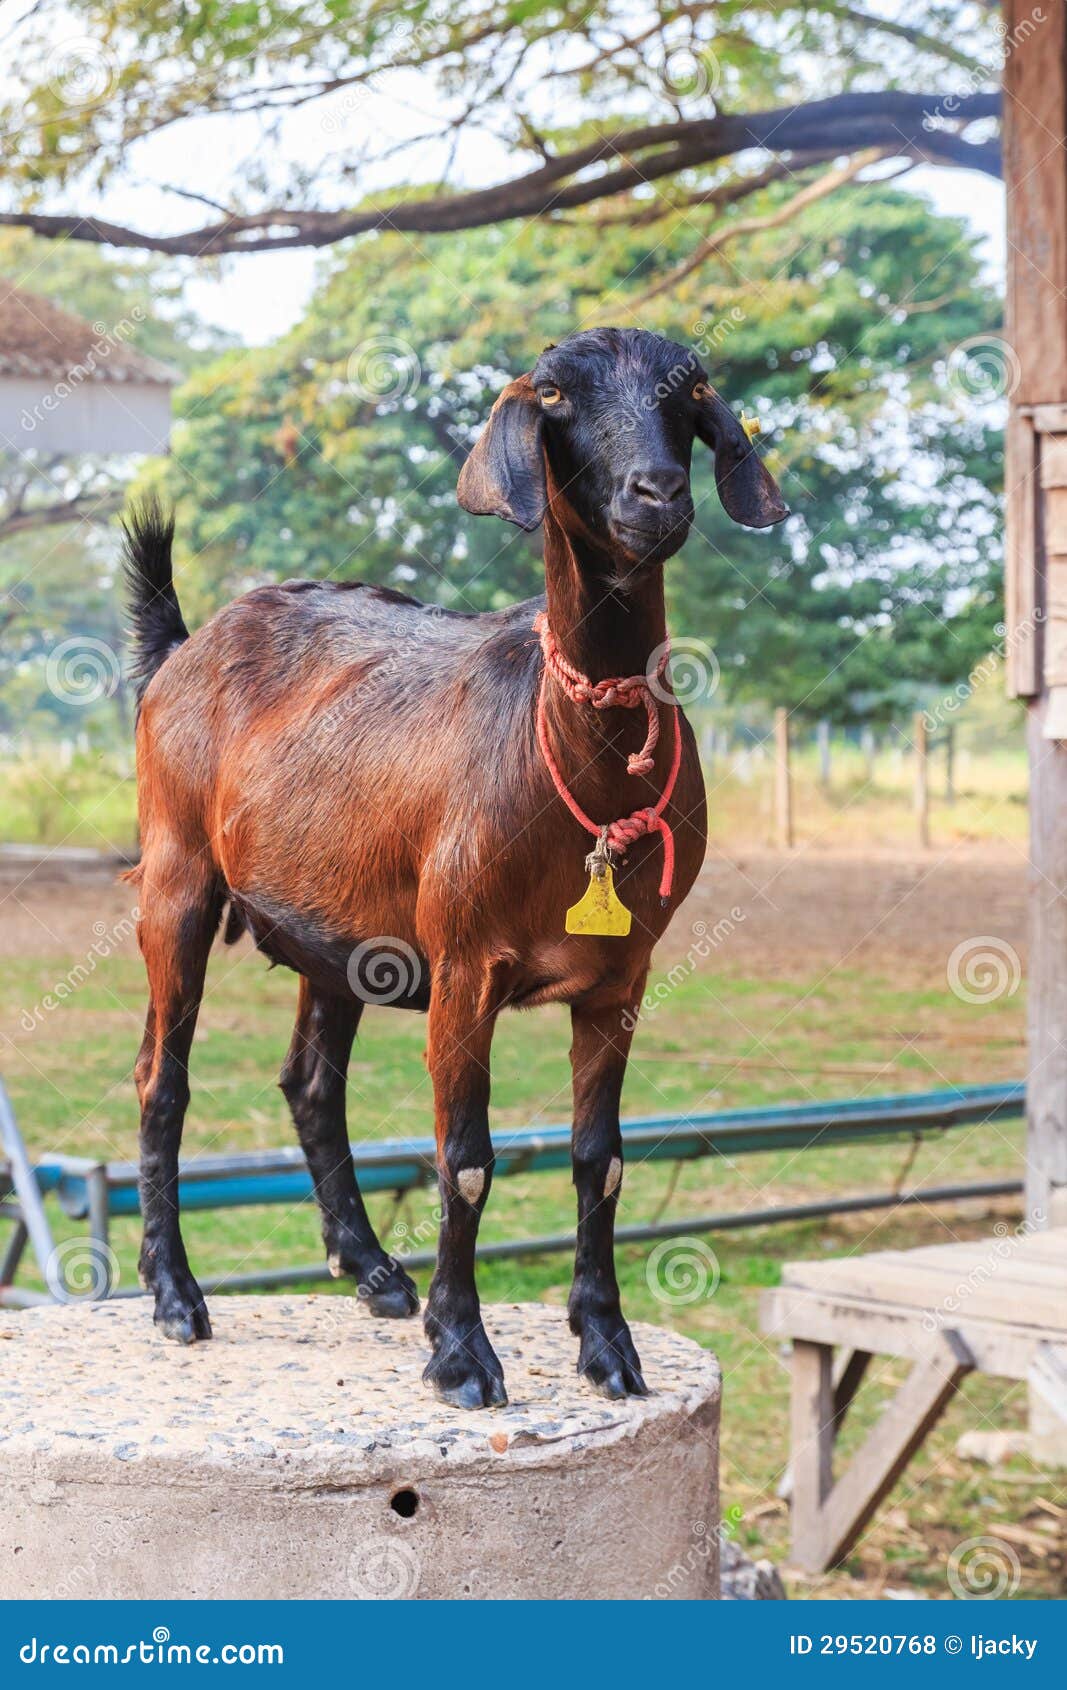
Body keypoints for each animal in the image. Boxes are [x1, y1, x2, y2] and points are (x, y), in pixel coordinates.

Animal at [123, 327, 786, 1408]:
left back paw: (373, 1271)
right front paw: (462, 1354)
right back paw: (176, 1296)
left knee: (310, 1083)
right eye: (554, 395)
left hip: (341, 932)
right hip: (175, 874)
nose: (655, 496)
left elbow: (600, 1159)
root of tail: (185, 644)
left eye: (686, 396)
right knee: (161, 1076)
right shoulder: (466, 964)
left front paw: (607, 1344)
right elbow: (465, 1160)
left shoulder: (622, 976)